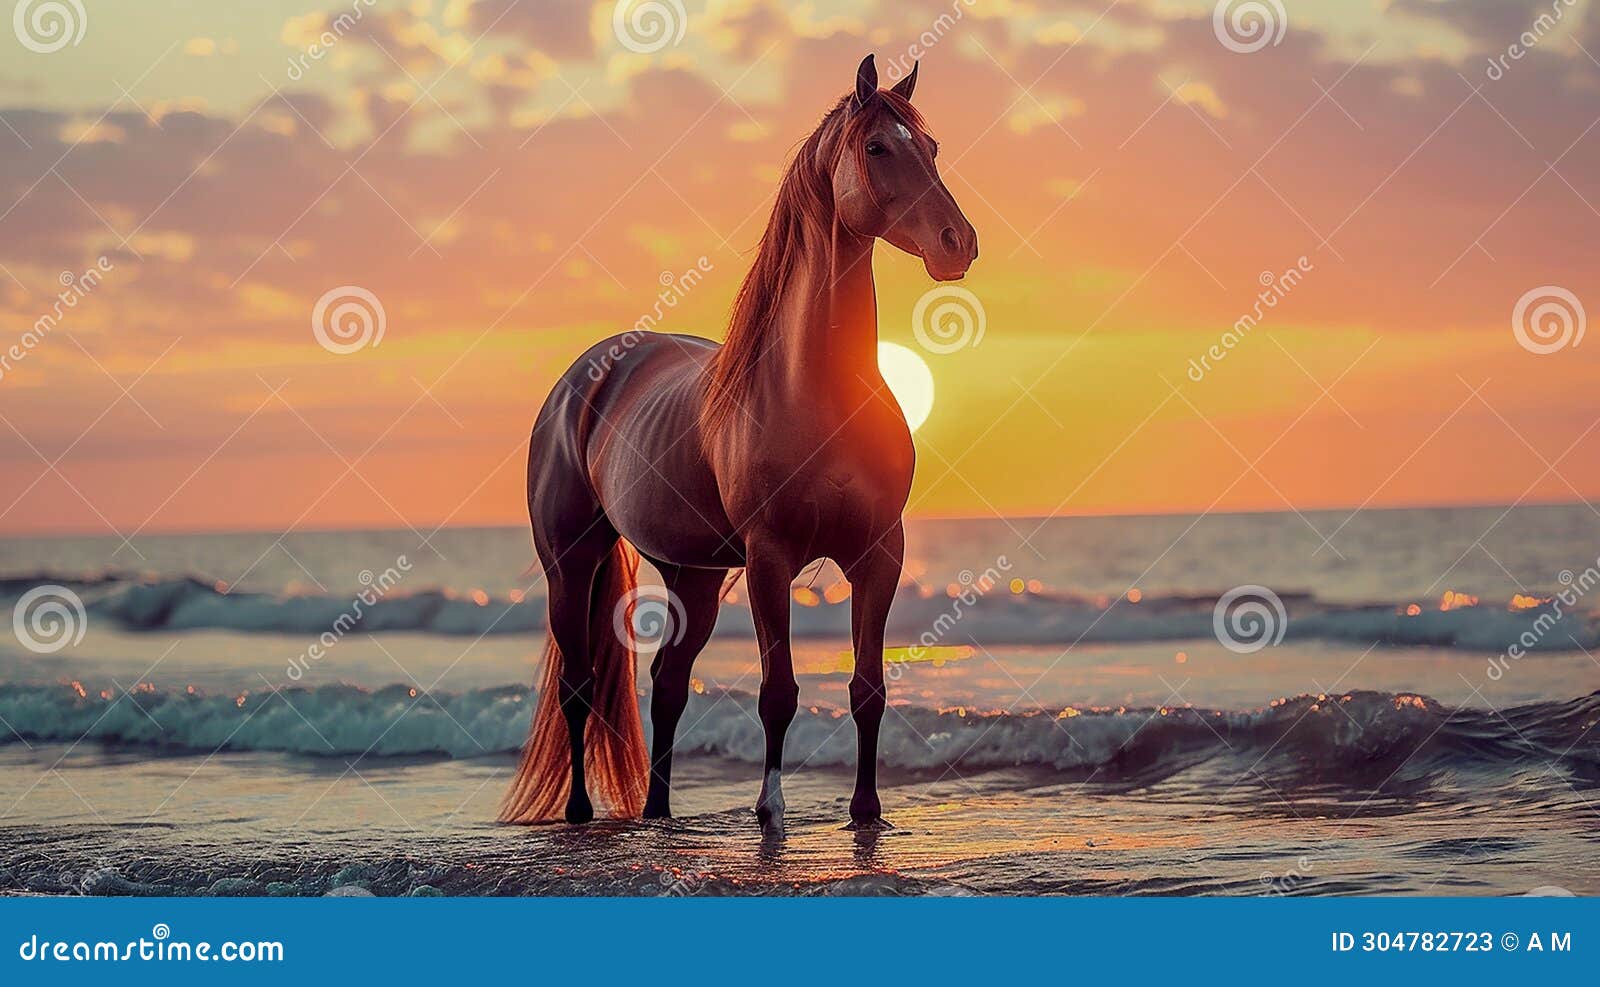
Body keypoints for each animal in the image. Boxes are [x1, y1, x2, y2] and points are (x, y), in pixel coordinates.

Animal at [501, 54, 978, 831]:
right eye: (878, 148)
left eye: (932, 149)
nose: (957, 243)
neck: (814, 389)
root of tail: (585, 378)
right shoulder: (768, 558)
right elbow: (777, 690)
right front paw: (769, 807)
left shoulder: (880, 554)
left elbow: (868, 688)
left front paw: (866, 811)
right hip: (571, 564)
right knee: (578, 685)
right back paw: (577, 810)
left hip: (691, 574)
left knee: (667, 684)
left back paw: (659, 810)